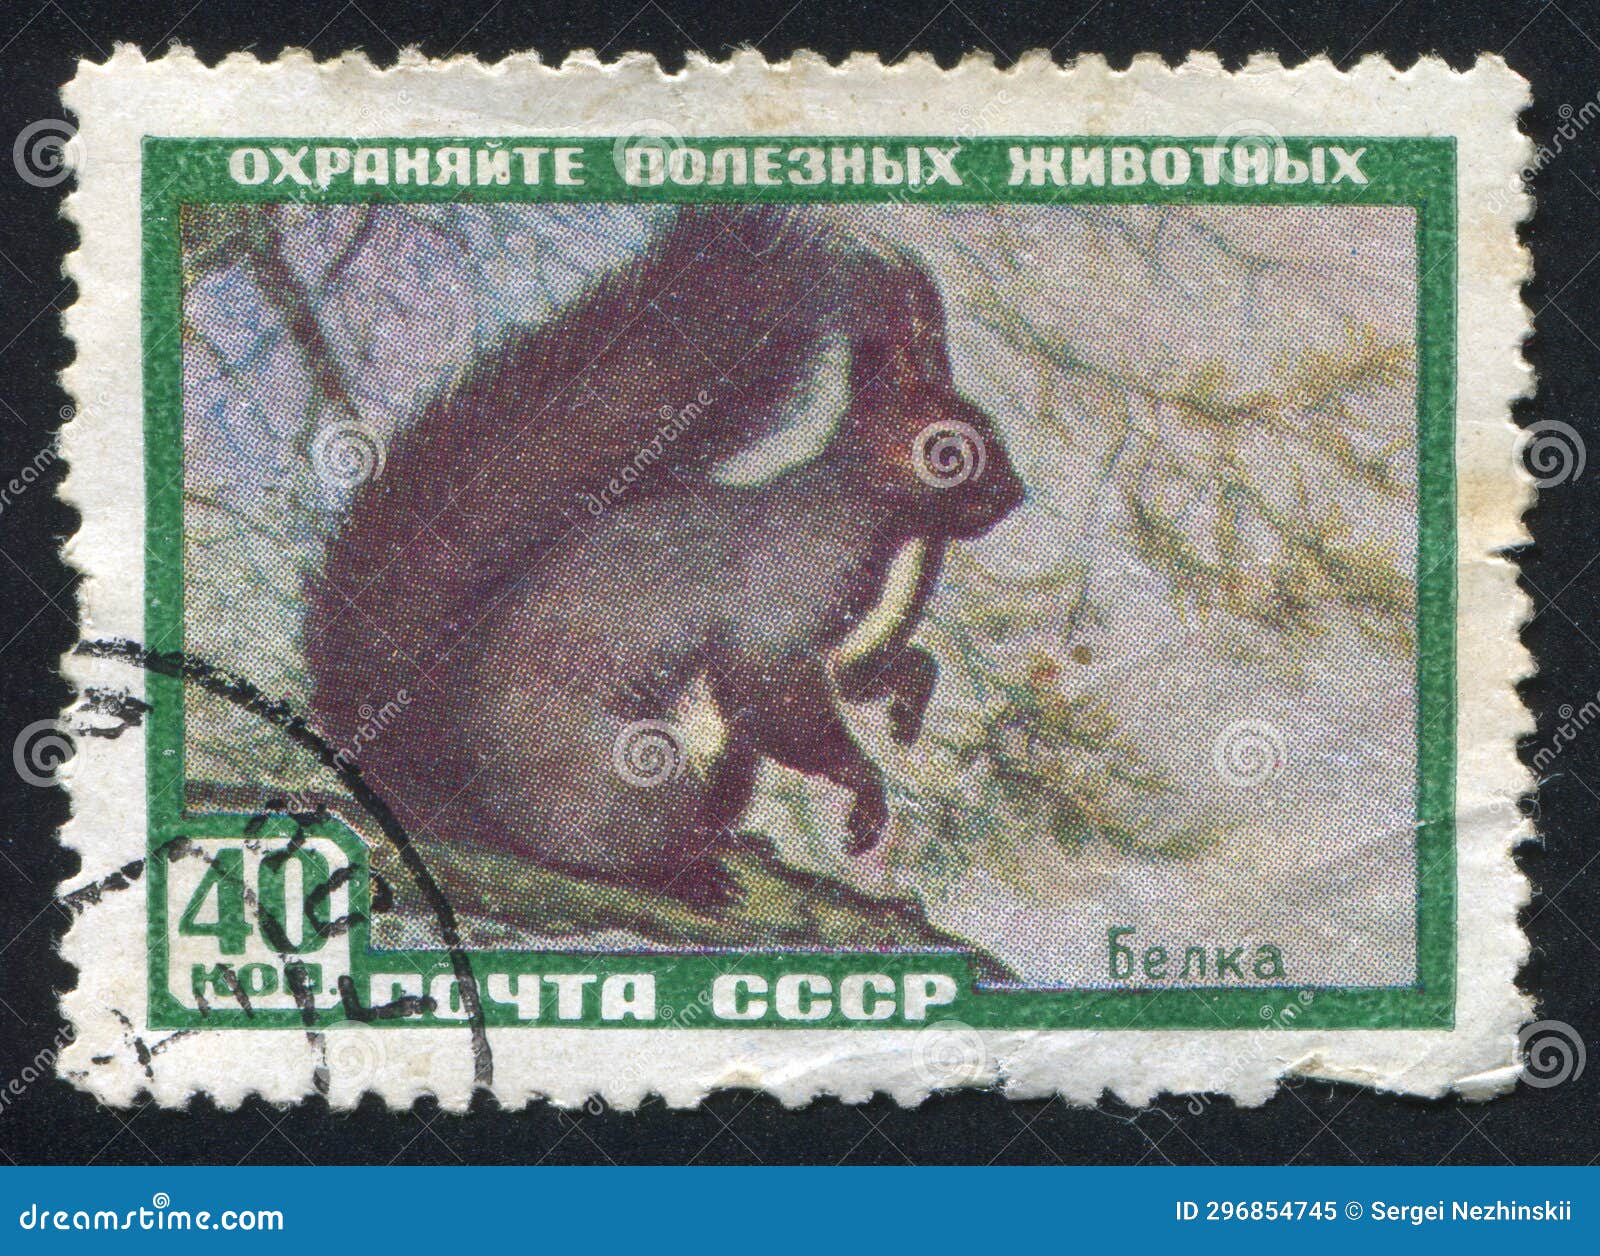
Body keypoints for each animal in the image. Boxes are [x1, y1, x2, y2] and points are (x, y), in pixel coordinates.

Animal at [305, 206, 1024, 910]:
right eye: (950, 448)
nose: (1018, 495)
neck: (894, 526)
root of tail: (456, 797)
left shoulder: (856, 637)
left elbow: (875, 672)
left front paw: (907, 711)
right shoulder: (780, 599)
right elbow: (773, 690)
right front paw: (866, 788)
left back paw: (740, 842)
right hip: (624, 776)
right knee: (615, 847)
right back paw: (687, 874)